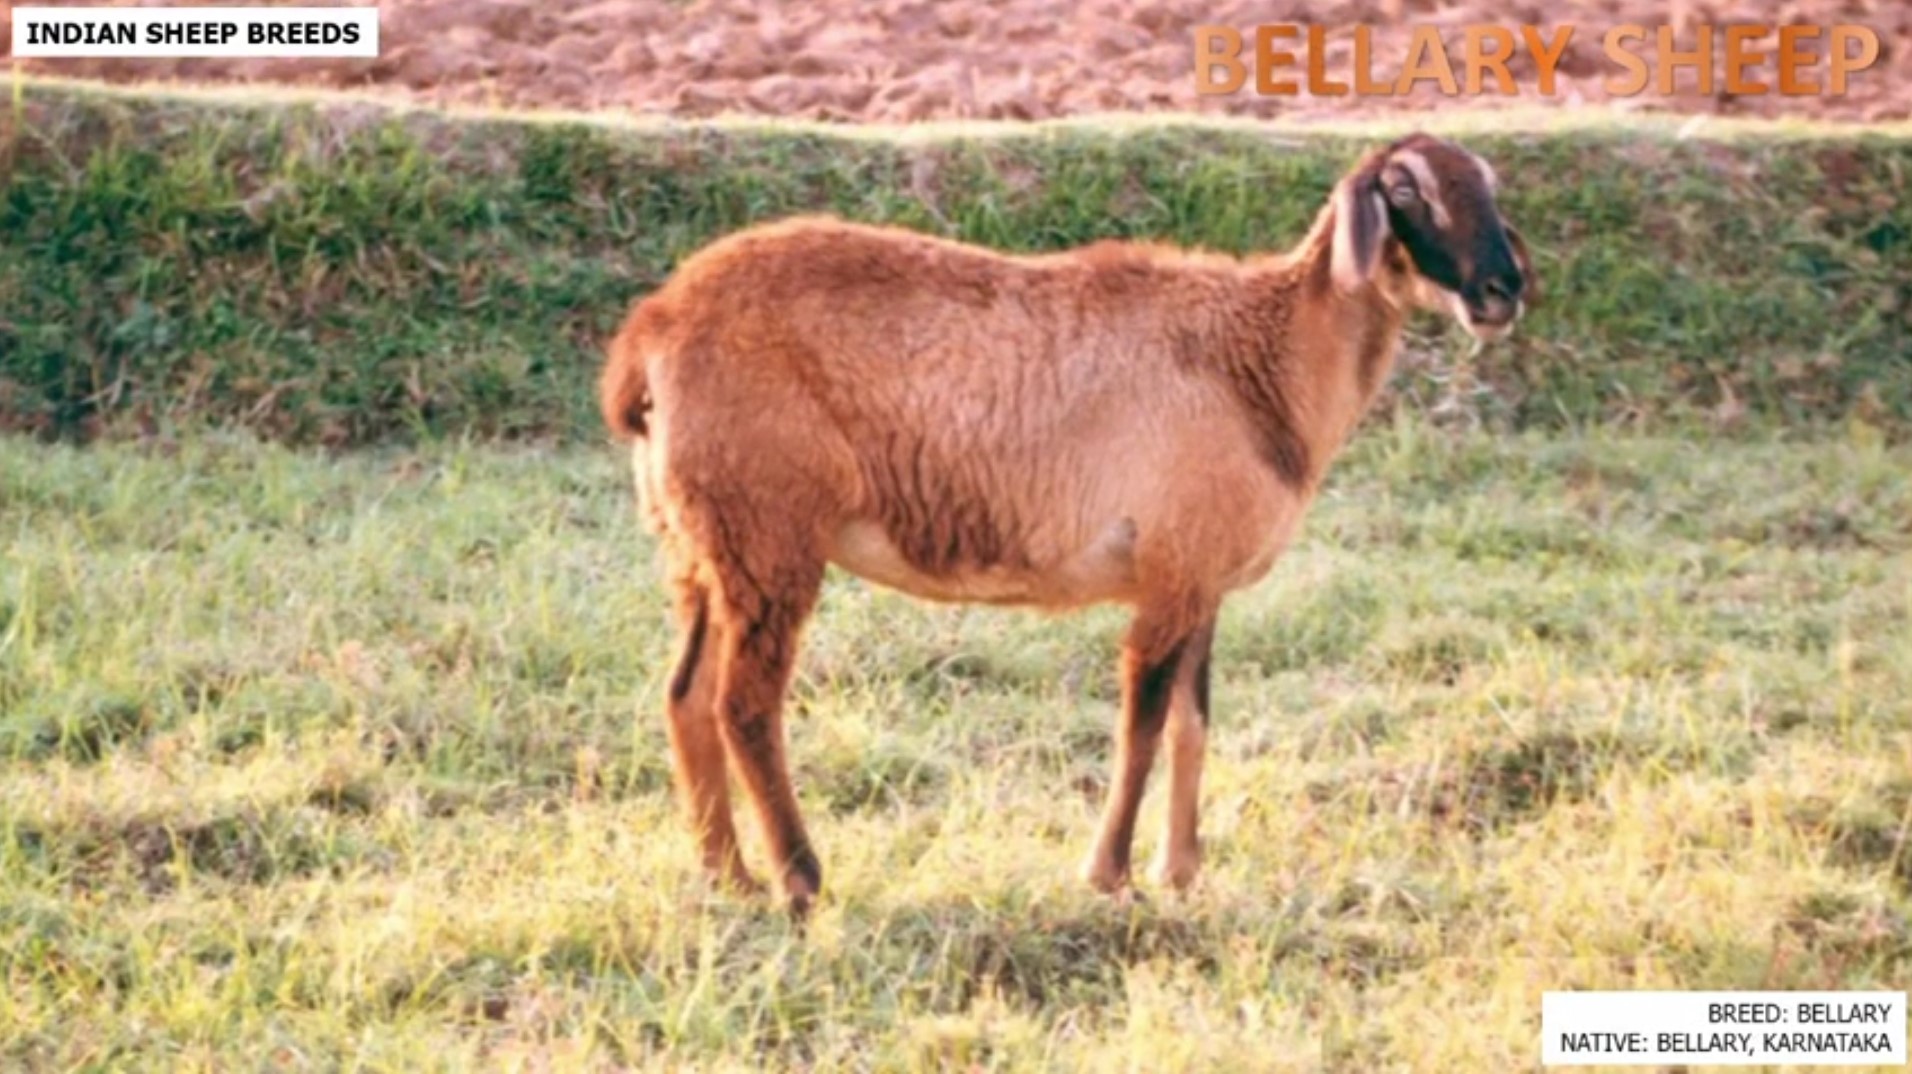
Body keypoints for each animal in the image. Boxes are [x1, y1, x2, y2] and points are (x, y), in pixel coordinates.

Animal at [600, 133, 1536, 916]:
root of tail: (650, 334)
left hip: (703, 545)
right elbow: (1142, 725)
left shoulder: (1199, 579)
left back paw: (726, 877)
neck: (1265, 361)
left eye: (1486, 185)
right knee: (746, 705)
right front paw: (1110, 875)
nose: (1502, 290)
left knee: (686, 696)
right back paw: (800, 879)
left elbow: (1192, 724)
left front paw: (1182, 872)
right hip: (770, 535)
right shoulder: (1170, 572)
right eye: (1406, 190)